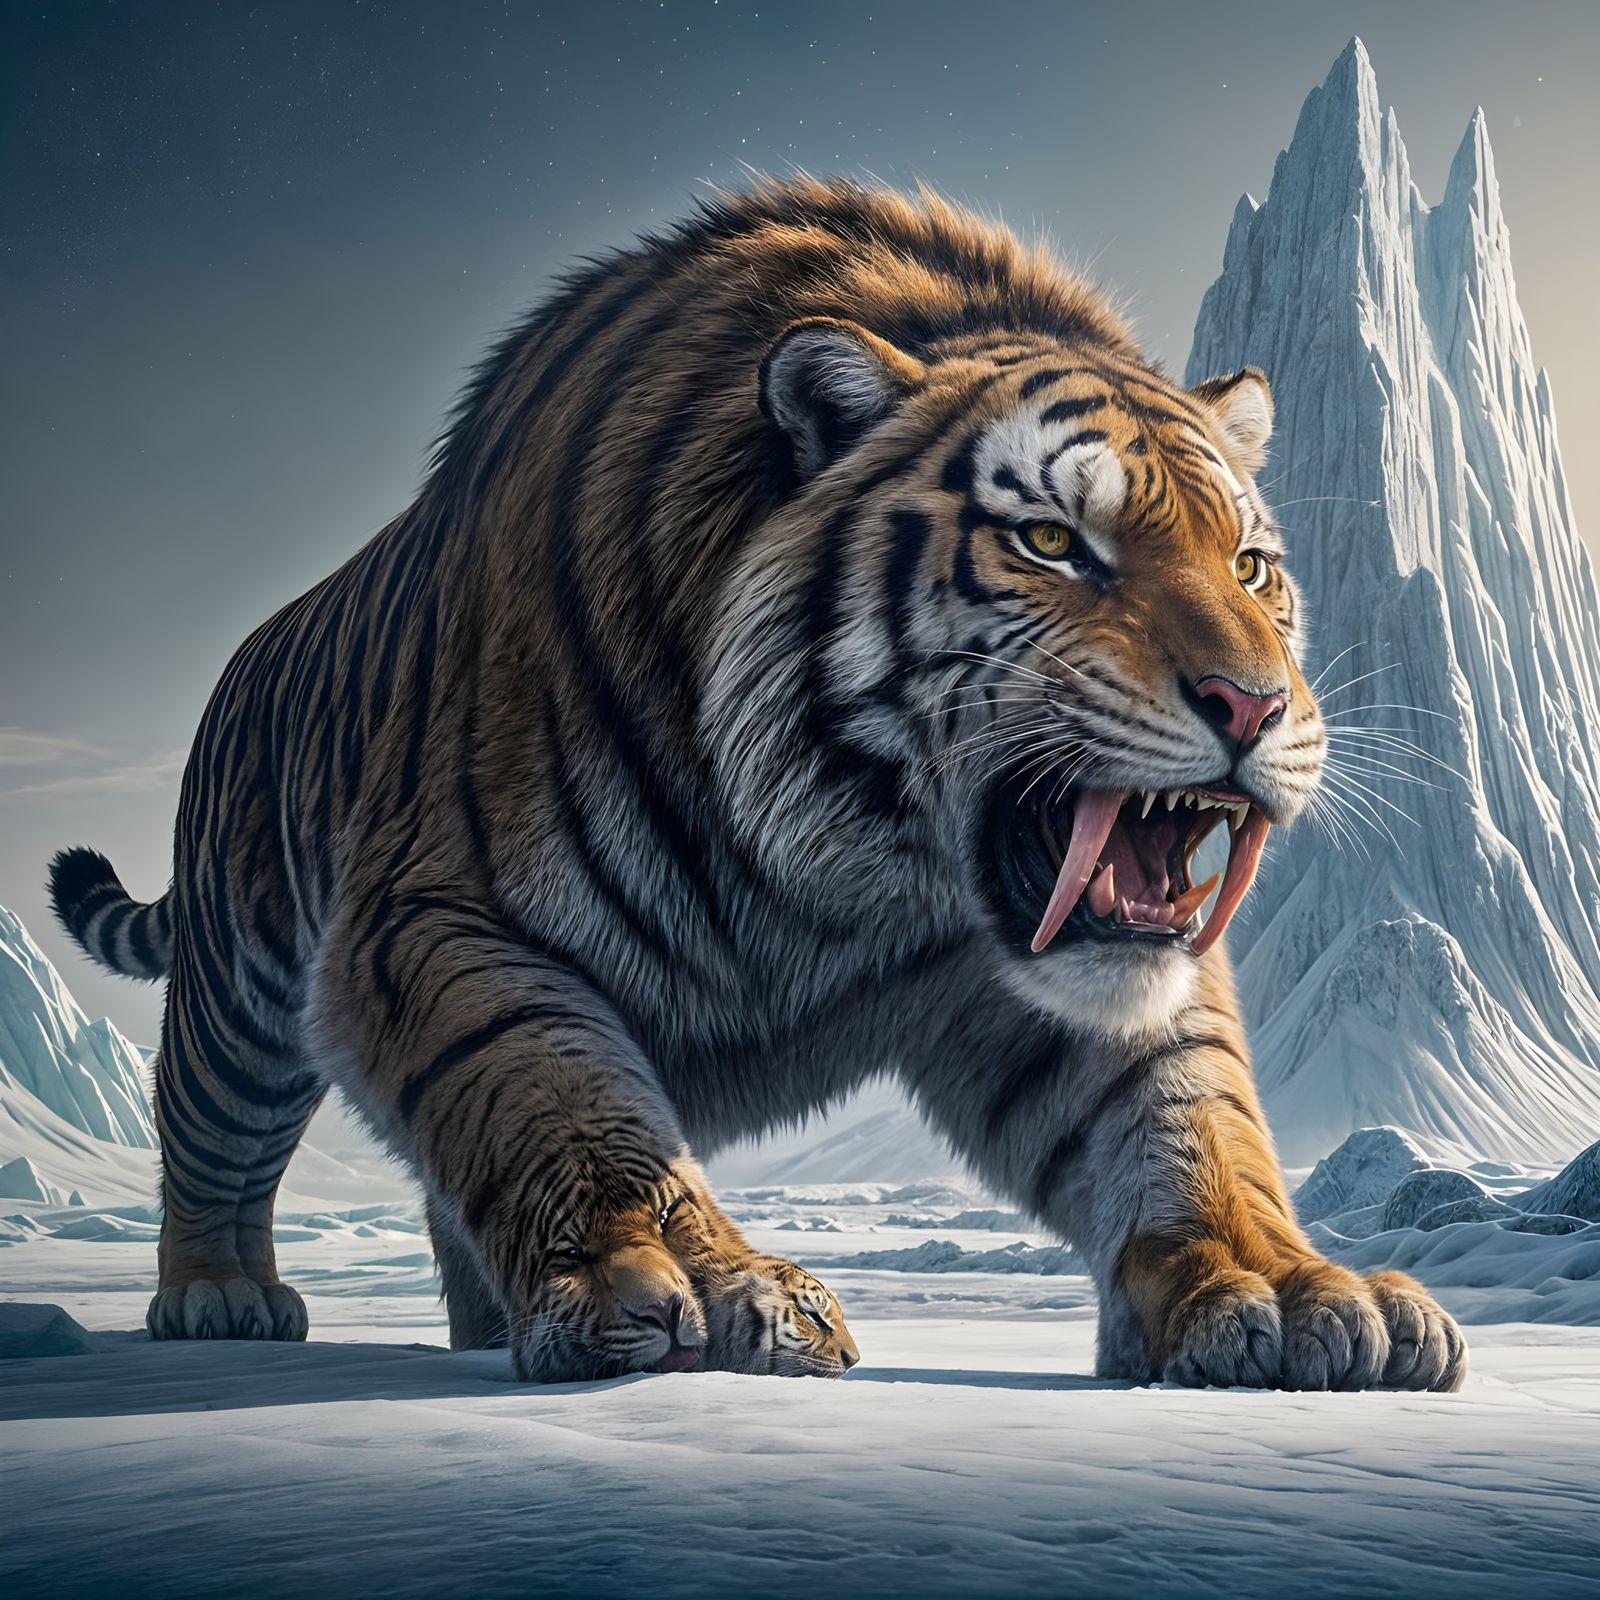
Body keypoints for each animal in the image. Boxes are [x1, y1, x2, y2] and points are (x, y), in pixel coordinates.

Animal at [48, 175, 1463, 1392]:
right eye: (1051, 541)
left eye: (1251, 564)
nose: (1253, 704)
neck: (844, 862)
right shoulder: (439, 913)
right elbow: (557, 1083)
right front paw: (692, 1282)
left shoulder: (1048, 975)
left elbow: (1180, 1108)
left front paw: (1285, 1290)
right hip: (236, 994)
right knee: (211, 1130)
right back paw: (219, 1298)